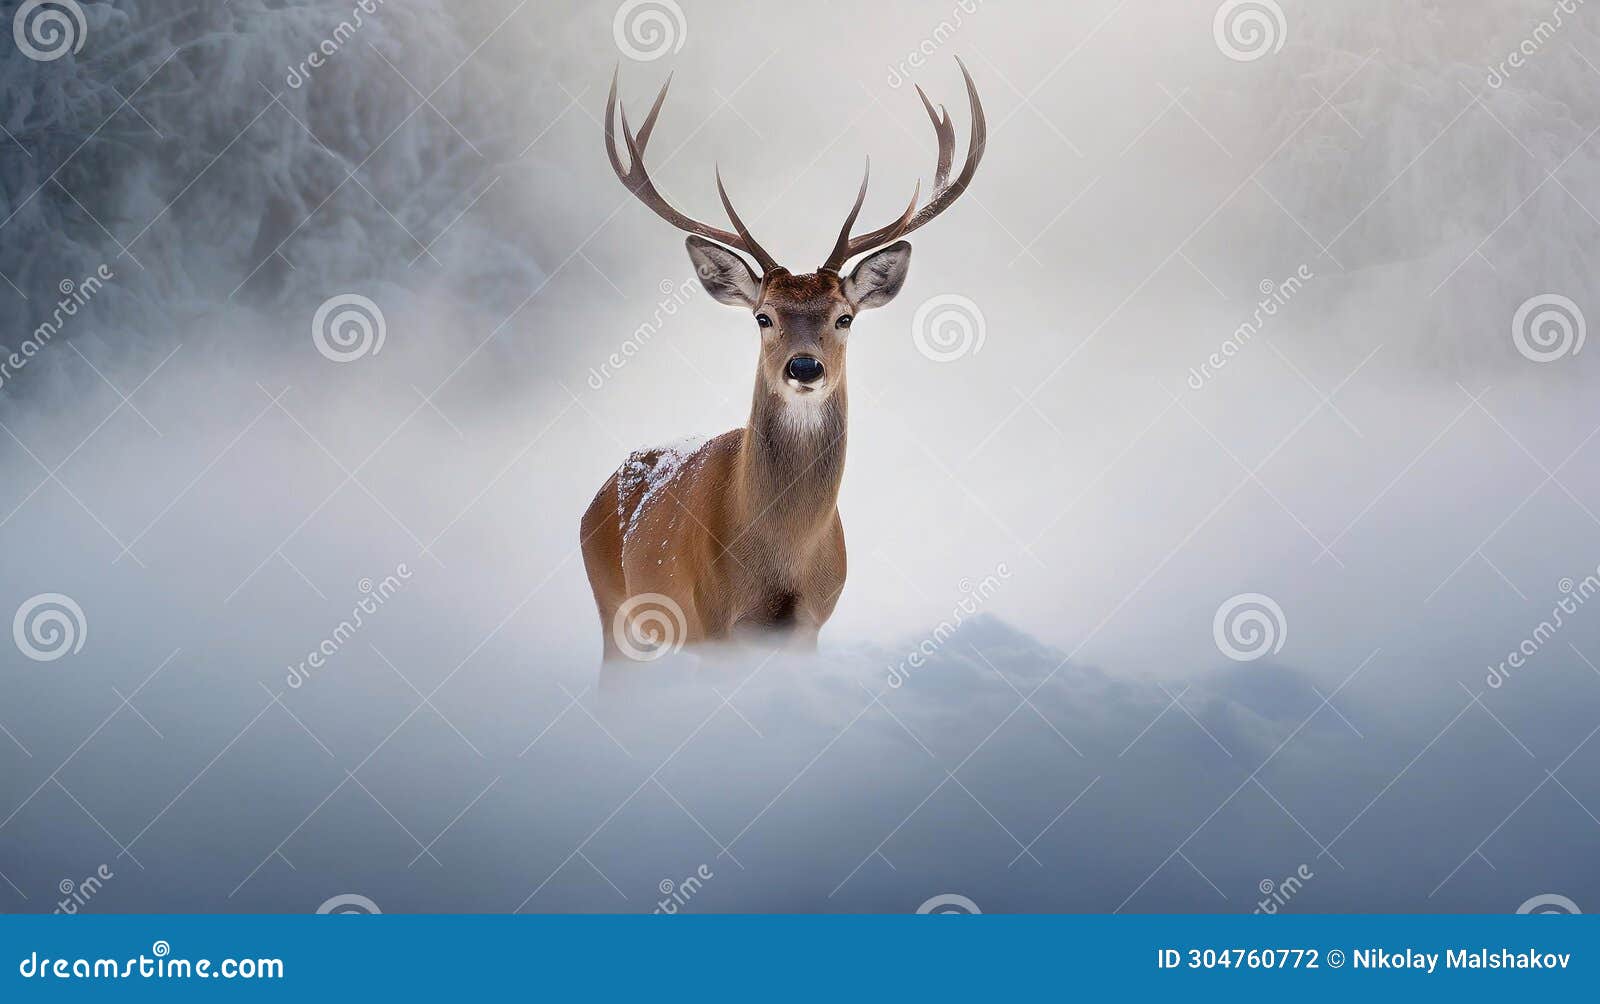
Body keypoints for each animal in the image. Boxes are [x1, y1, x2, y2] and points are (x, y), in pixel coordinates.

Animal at [581, 59, 985, 670]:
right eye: (763, 317)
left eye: (845, 318)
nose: (804, 368)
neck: (779, 566)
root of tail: (598, 494)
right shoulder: (710, 626)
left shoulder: (811, 627)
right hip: (614, 611)